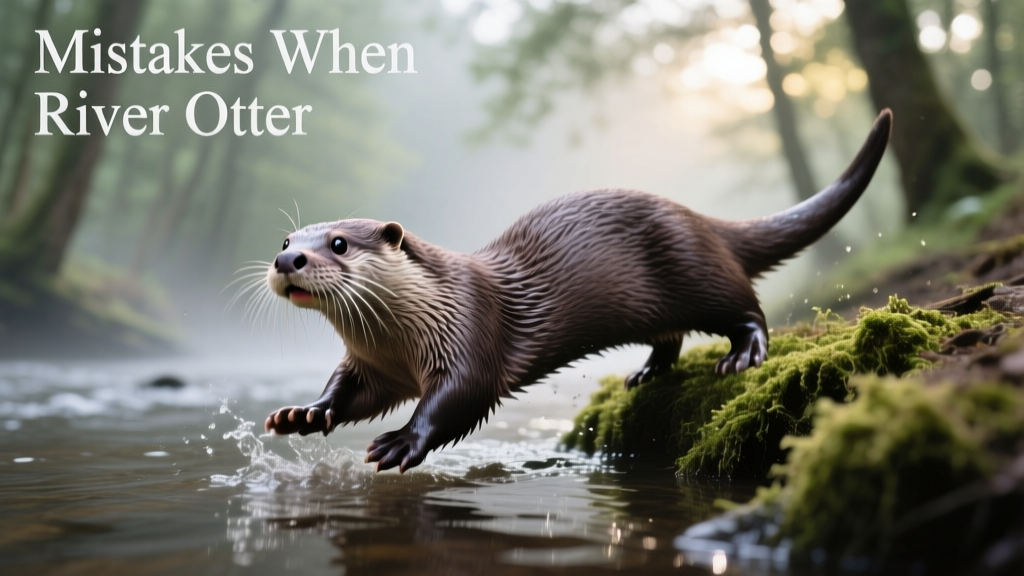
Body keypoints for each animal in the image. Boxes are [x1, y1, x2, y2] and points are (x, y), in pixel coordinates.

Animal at [263, 109, 892, 473]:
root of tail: (699, 219)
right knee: (672, 336)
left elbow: (461, 397)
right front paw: (304, 413)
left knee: (745, 309)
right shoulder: (374, 365)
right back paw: (646, 373)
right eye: (288, 237)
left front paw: (399, 441)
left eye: (339, 243)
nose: (287, 258)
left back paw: (741, 356)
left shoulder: (468, 332)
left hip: (695, 269)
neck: (404, 334)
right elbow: (349, 393)